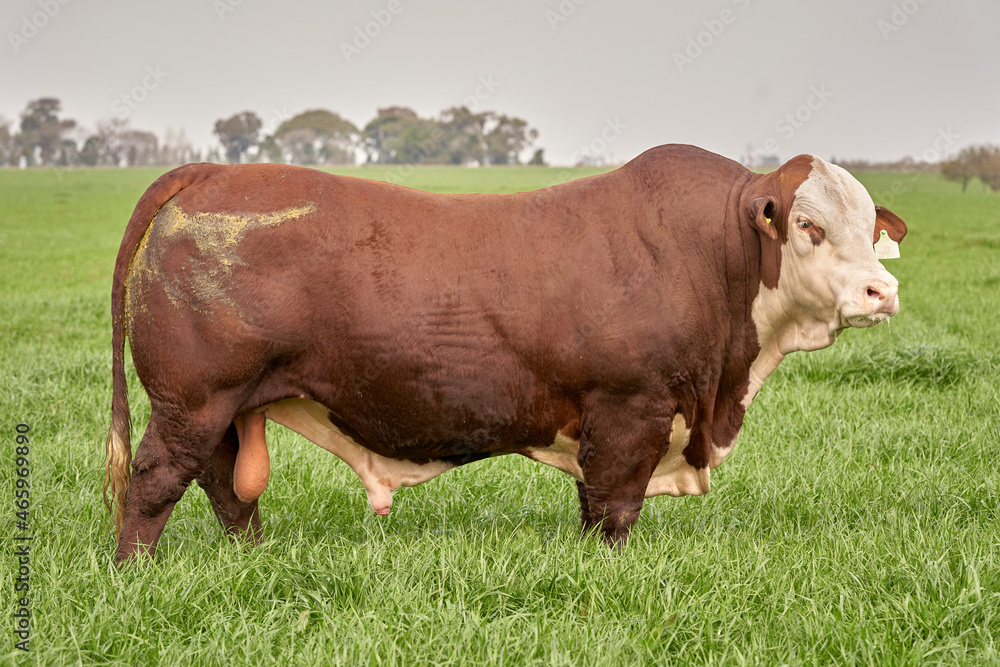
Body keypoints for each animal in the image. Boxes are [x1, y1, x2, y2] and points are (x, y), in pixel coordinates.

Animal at [103, 144, 907, 562]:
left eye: (871, 226)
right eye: (807, 224)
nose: (882, 289)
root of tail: (213, 170)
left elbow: (594, 503)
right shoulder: (631, 409)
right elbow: (613, 508)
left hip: (227, 406)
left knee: (225, 484)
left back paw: (254, 555)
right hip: (194, 398)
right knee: (154, 480)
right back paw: (135, 570)